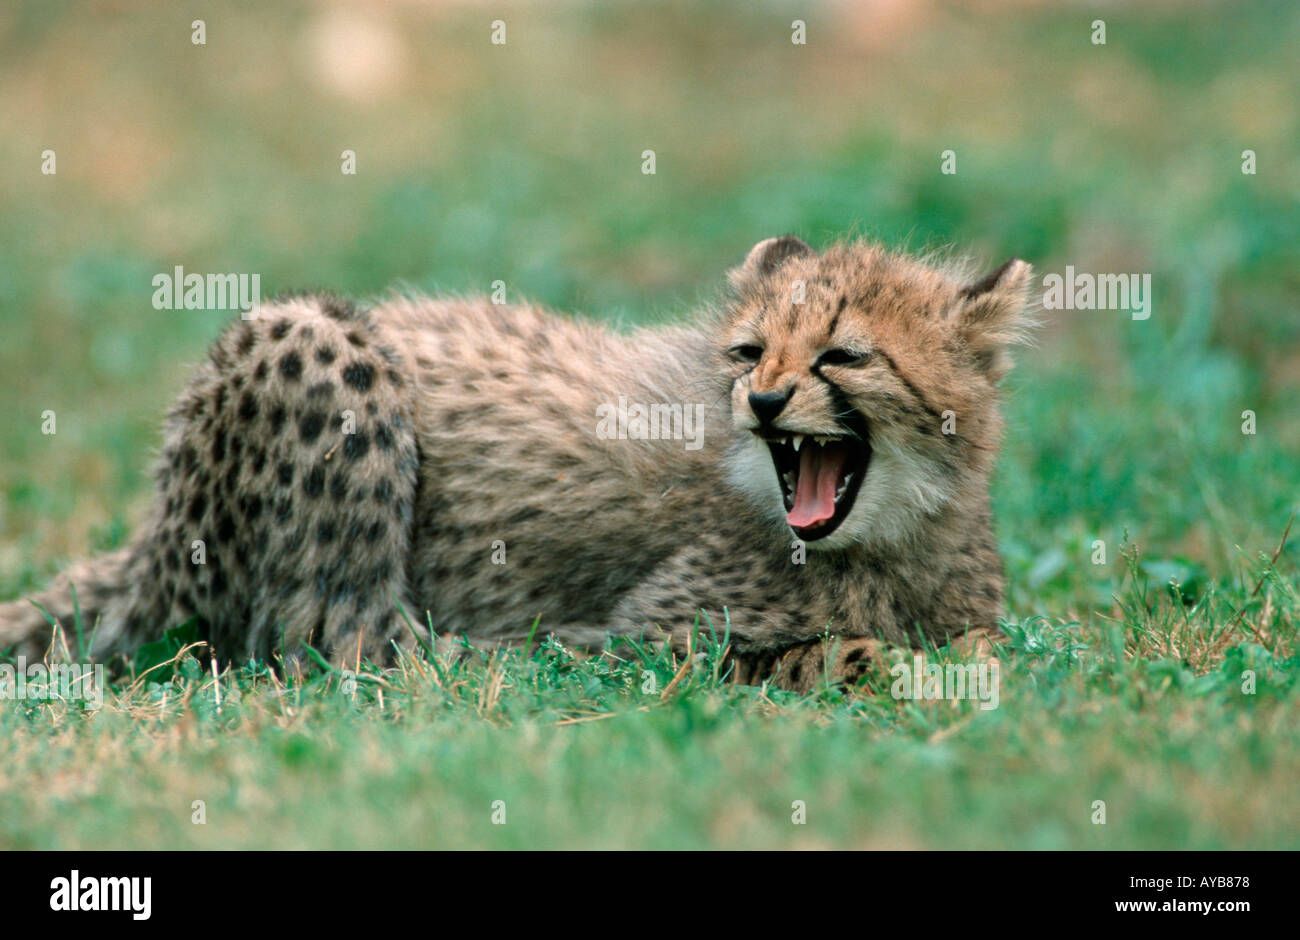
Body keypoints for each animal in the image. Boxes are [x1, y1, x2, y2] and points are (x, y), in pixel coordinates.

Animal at [0, 236, 1034, 693]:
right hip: (314, 337)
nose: (764, 401)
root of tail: (153, 527)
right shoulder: (637, 636)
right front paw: (890, 660)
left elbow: (984, 635)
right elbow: (799, 650)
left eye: (843, 356)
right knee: (341, 642)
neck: (883, 540)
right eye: (749, 353)